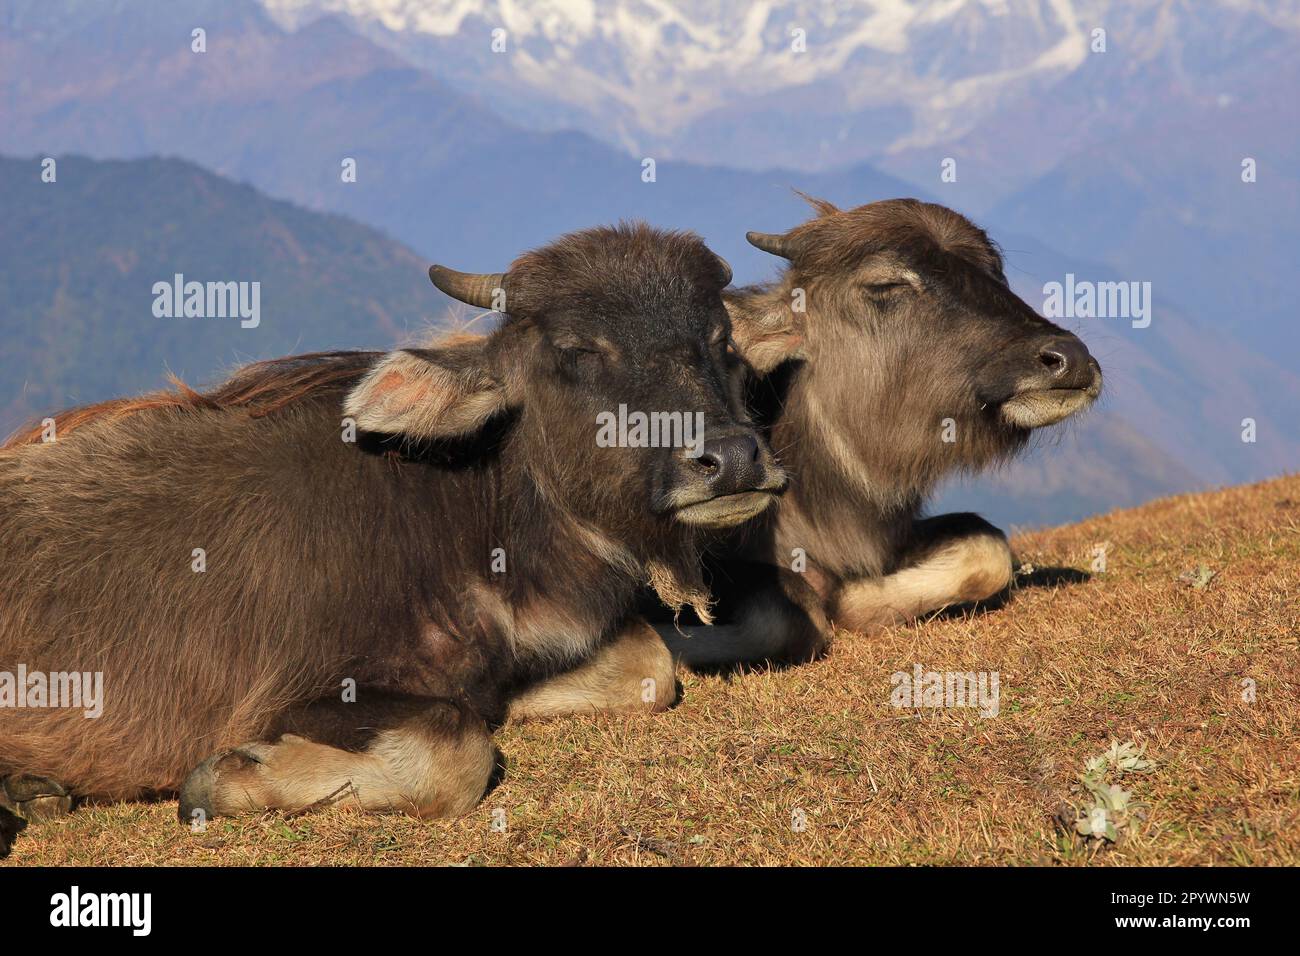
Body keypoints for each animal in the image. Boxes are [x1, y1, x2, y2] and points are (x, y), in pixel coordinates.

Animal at [0, 222, 797, 834]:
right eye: (577, 351)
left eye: (721, 342)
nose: (730, 459)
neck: (468, 516)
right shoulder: (298, 694)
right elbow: (454, 750)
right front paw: (229, 780)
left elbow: (649, 667)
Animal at [655, 197, 1102, 667]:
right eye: (886, 284)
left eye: (995, 272)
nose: (1069, 358)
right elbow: (786, 614)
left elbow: (989, 548)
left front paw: (856, 599)